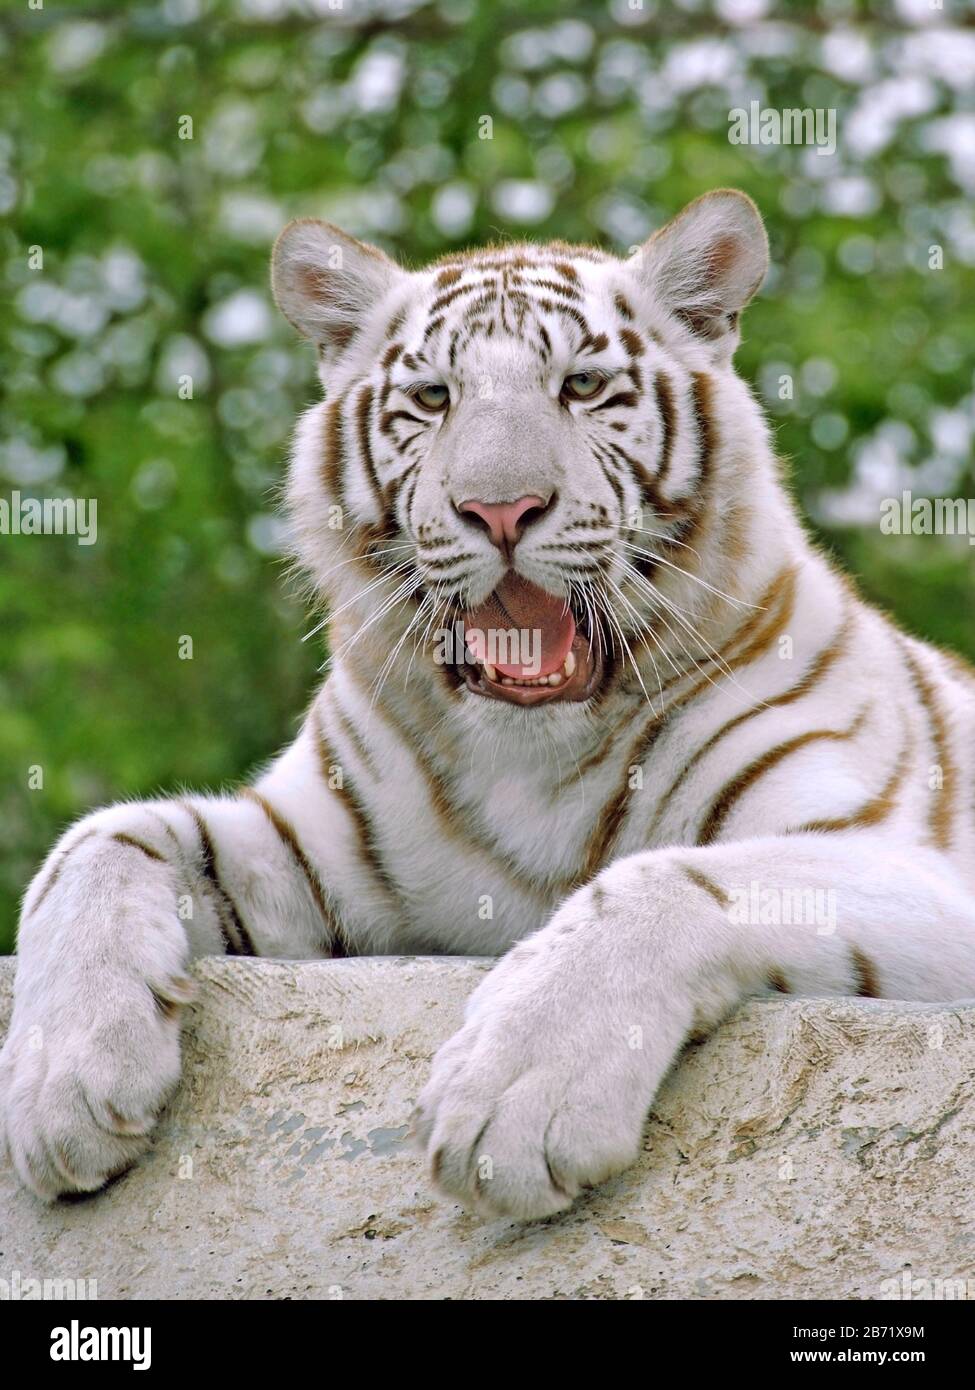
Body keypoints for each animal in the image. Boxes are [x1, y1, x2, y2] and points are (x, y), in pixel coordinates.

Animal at [3, 189, 975, 1223]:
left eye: (582, 385)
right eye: (433, 399)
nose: (500, 509)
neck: (529, 752)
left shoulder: (898, 859)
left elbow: (661, 880)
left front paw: (516, 1097)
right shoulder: (311, 845)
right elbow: (96, 842)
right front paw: (59, 1085)